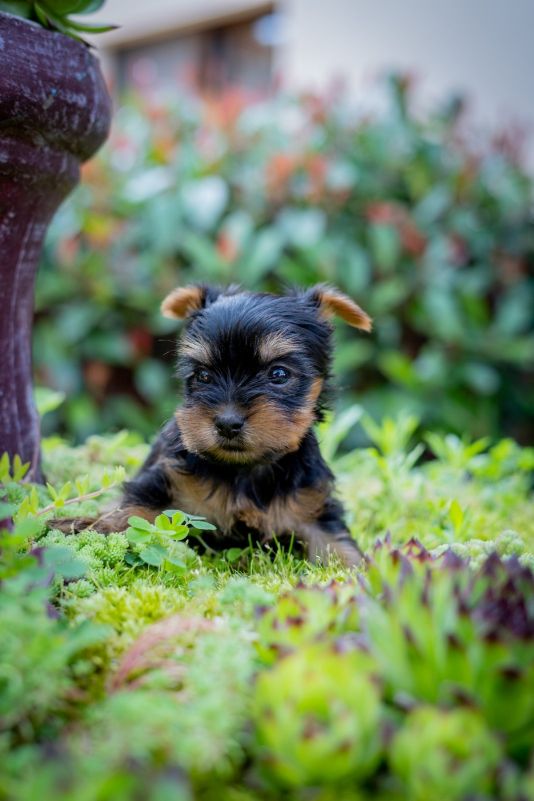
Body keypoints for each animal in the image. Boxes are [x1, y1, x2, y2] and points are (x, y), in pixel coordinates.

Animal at [59, 284, 372, 564]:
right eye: (203, 376)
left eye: (279, 374)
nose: (227, 423)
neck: (244, 472)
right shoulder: (163, 483)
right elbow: (132, 513)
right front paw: (87, 527)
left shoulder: (312, 509)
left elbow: (338, 546)